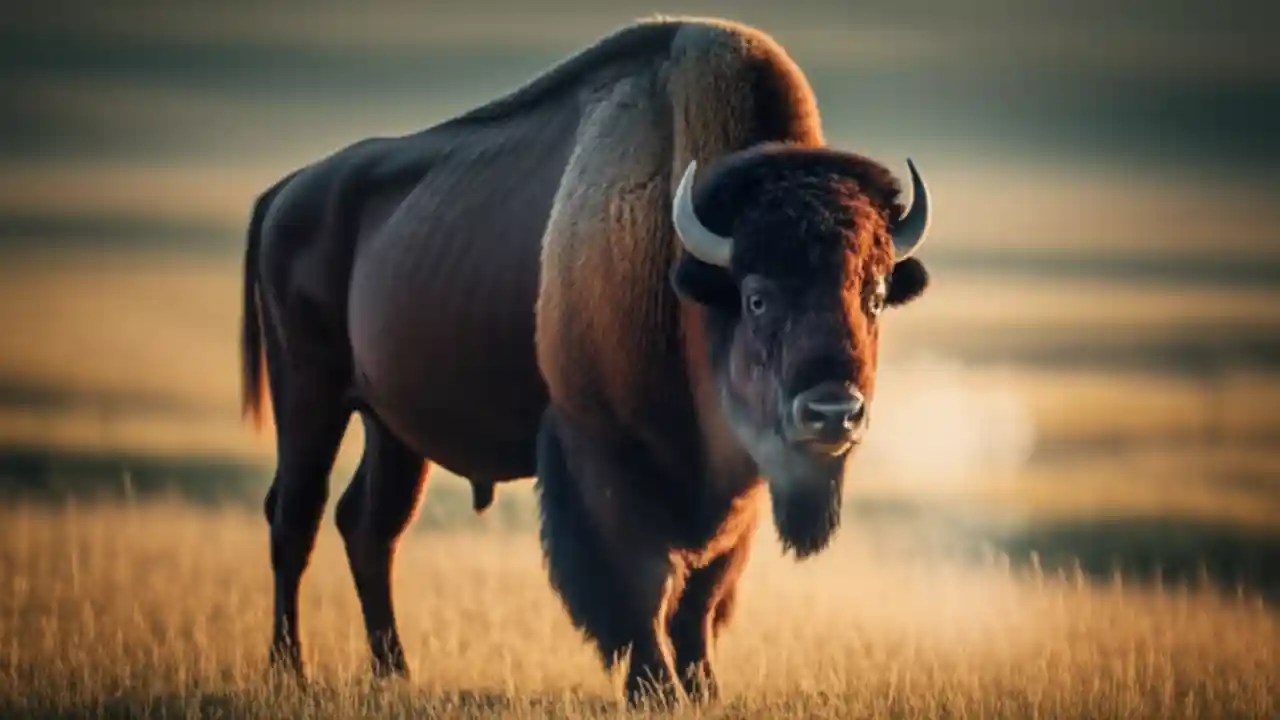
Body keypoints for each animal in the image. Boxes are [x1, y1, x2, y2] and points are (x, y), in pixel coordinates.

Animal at [241, 16, 931, 703]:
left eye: (874, 295)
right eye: (756, 297)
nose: (833, 413)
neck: (684, 279)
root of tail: (287, 192)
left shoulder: (738, 487)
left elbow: (704, 590)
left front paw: (704, 686)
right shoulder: (604, 453)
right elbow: (639, 584)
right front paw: (654, 688)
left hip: (393, 430)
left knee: (371, 526)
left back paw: (394, 670)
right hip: (309, 396)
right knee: (294, 518)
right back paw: (289, 668)